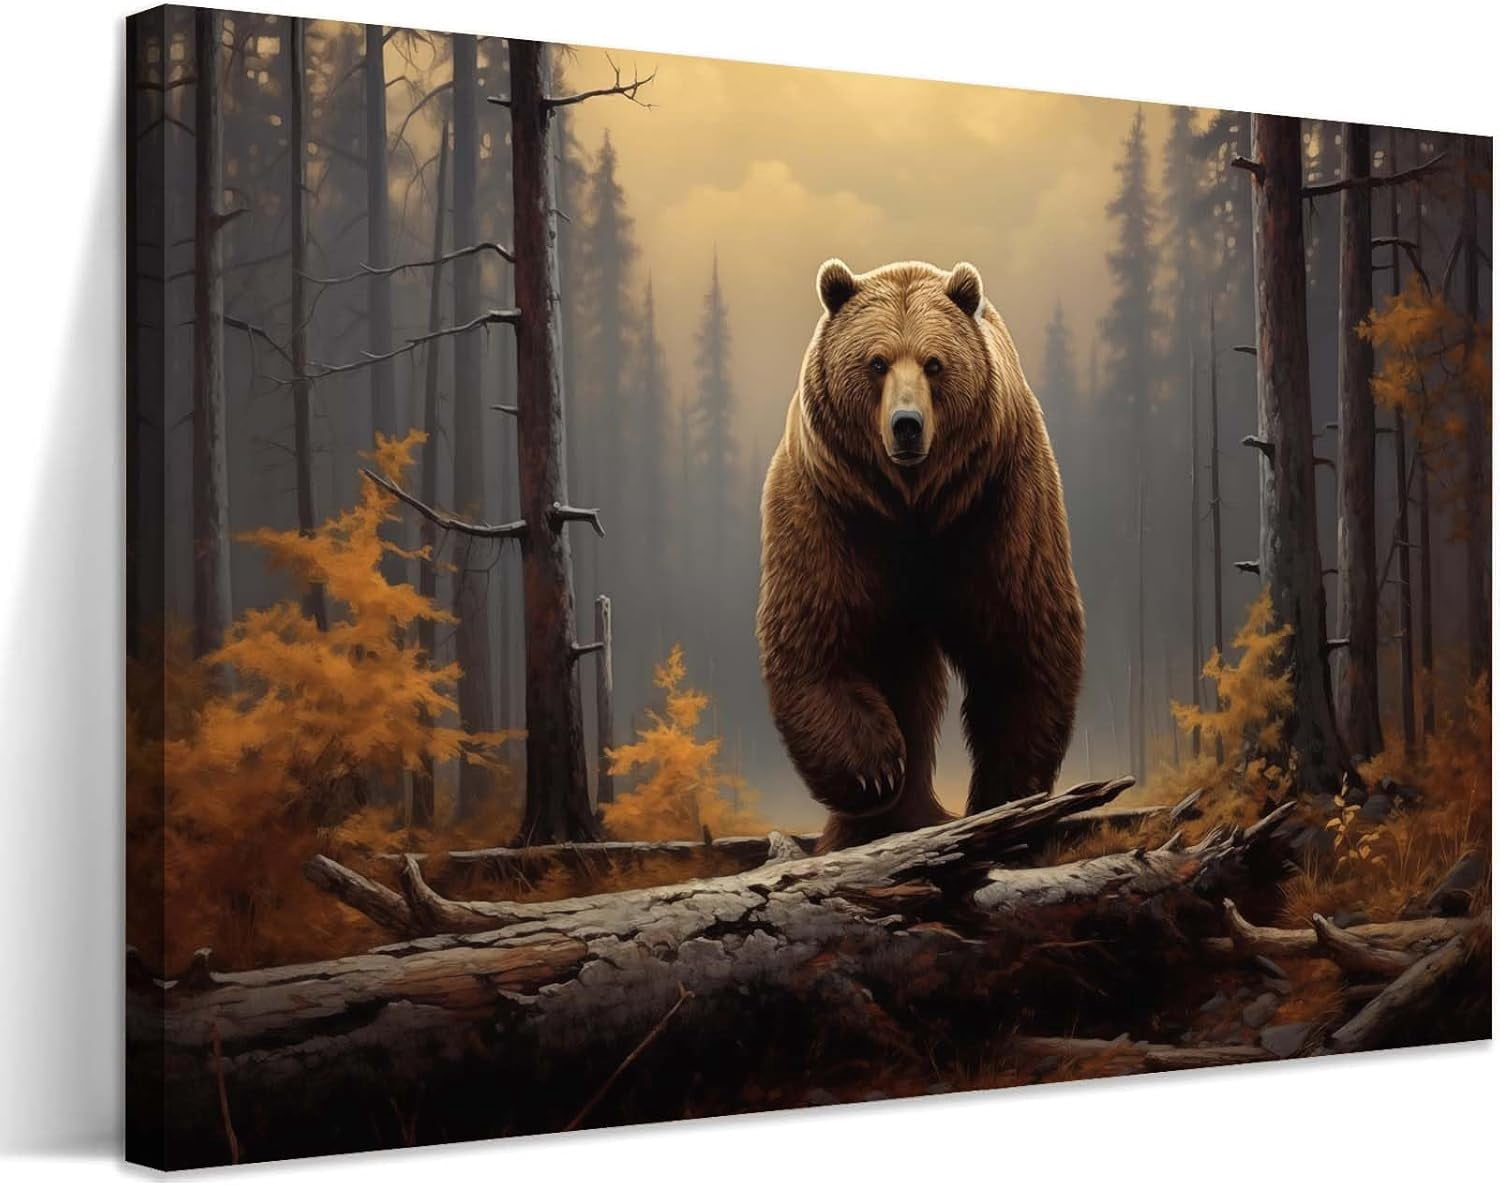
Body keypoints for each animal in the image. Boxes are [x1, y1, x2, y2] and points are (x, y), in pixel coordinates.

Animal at [756, 259, 1084, 852]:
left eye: (934, 363)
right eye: (876, 361)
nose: (906, 424)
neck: (913, 504)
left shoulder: (994, 504)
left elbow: (1019, 637)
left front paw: (1008, 791)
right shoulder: (833, 509)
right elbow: (819, 638)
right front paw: (874, 767)